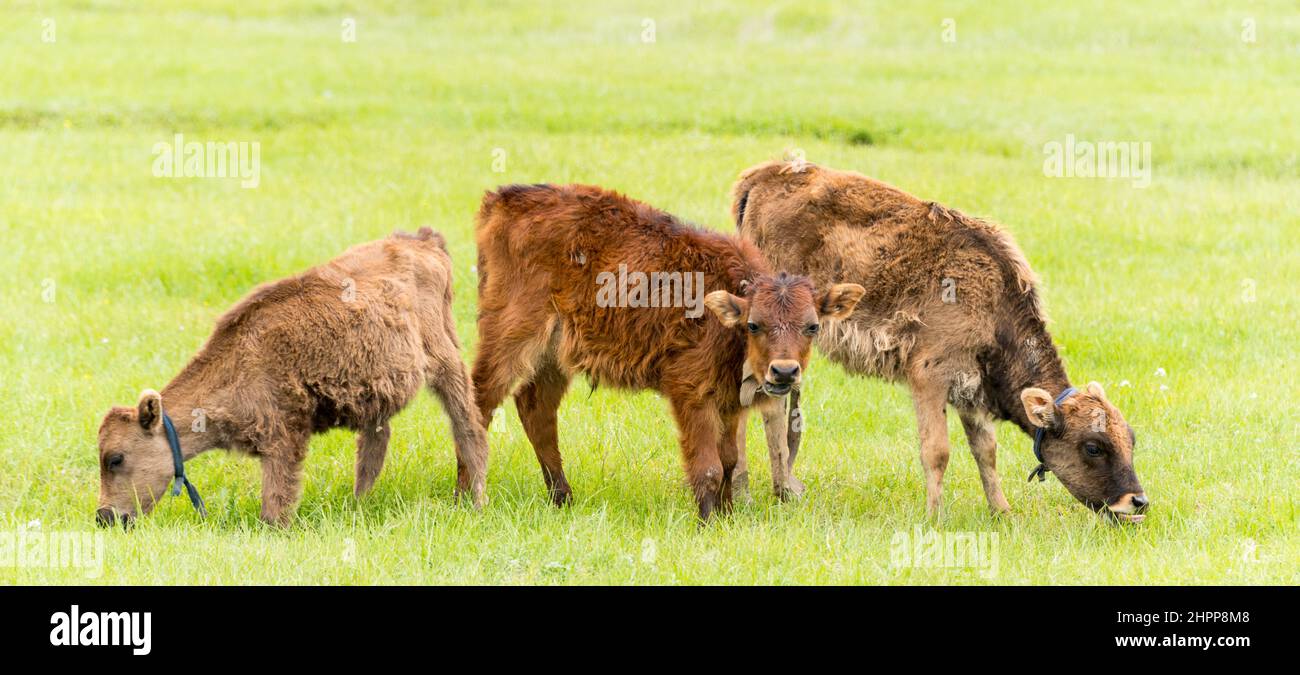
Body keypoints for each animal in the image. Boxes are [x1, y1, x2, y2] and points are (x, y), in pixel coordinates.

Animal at [95, 228, 488, 527]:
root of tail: (422, 242)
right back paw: (358, 504)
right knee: (375, 443)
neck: (238, 362)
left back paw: (475, 502)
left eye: (116, 458)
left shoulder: (282, 436)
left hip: (445, 360)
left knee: (469, 426)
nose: (105, 517)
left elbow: (277, 496)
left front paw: (275, 528)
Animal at [471, 183, 864, 521]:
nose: (784, 371)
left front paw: (728, 516)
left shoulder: (728, 403)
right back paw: (468, 496)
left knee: (536, 411)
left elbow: (730, 461)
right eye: (754, 325)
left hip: (554, 356)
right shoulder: (692, 394)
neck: (725, 312)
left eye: (812, 326)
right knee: (481, 400)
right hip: (511, 336)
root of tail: (502, 200)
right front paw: (707, 522)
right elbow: (708, 466)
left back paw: (562, 497)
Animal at [731, 161, 1149, 522]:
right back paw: (765, 490)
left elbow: (986, 451)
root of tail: (761, 175)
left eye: (1129, 438)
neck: (994, 301)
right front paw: (934, 516)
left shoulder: (972, 389)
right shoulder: (929, 377)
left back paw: (781, 487)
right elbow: (937, 451)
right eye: (1093, 446)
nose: (1137, 501)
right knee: (765, 401)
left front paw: (1002, 512)